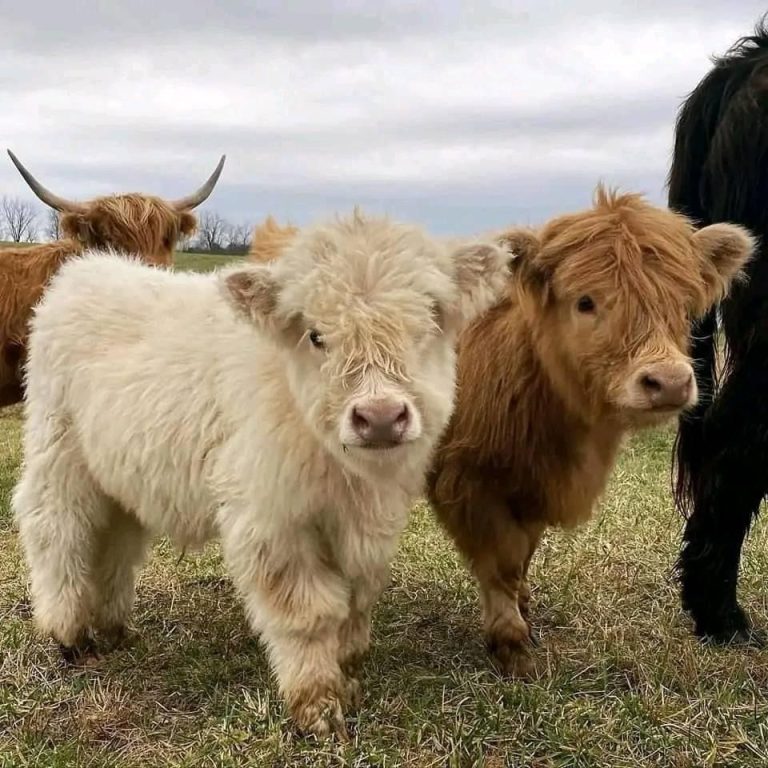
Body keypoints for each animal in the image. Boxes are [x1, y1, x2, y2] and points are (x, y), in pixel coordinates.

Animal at [11, 210, 511, 738]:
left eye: (431, 320)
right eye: (316, 335)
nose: (379, 417)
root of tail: (87, 269)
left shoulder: (370, 522)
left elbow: (358, 596)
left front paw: (349, 669)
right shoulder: (272, 521)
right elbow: (307, 613)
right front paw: (318, 705)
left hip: (117, 470)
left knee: (115, 537)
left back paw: (112, 628)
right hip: (57, 449)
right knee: (55, 525)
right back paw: (68, 632)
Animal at [424, 187, 754, 677]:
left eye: (682, 304)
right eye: (585, 302)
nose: (669, 382)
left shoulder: (536, 487)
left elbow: (523, 555)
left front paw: (524, 611)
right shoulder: (469, 482)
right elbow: (502, 562)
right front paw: (512, 646)